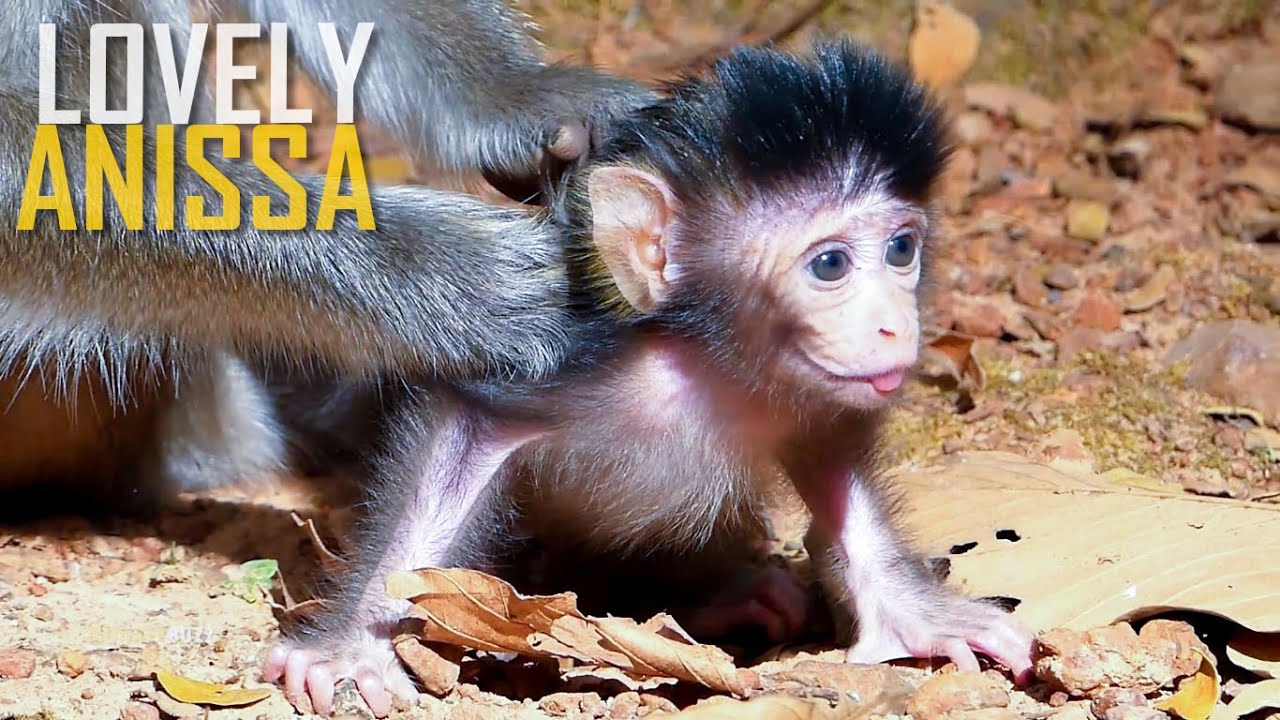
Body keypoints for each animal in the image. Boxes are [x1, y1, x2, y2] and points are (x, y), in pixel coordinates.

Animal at [263, 41, 1035, 718]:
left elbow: (832, 467)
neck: (707, 371)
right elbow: (462, 434)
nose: (894, 326)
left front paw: (916, 613)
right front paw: (354, 645)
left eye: (902, 250)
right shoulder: (566, 350)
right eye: (831, 265)